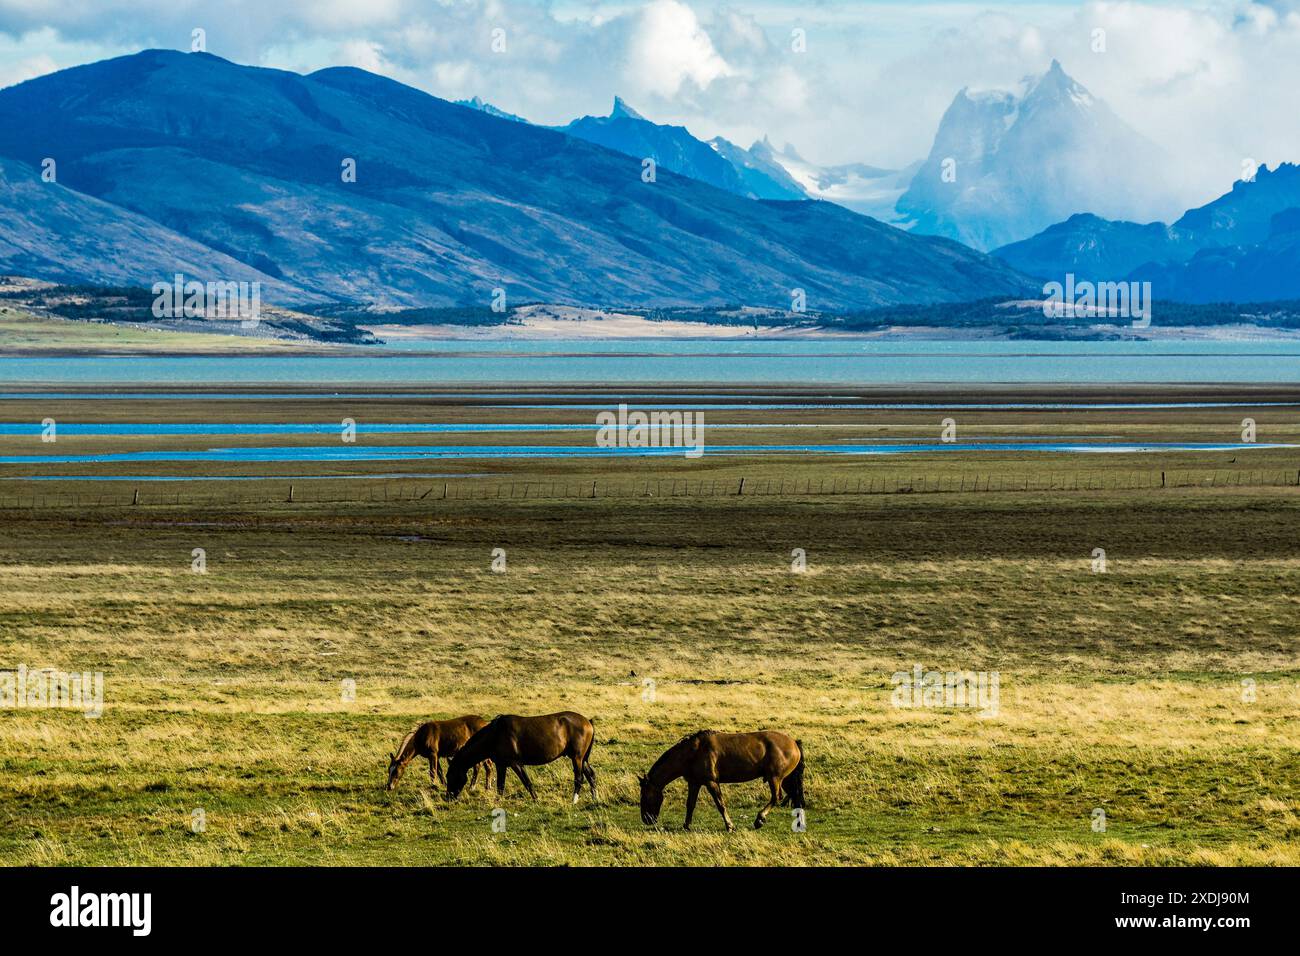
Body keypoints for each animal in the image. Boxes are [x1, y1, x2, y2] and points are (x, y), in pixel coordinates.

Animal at [445, 711, 597, 802]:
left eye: (450, 776)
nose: (448, 798)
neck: (495, 734)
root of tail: (588, 722)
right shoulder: (501, 765)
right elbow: (500, 786)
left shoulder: (516, 764)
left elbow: (527, 782)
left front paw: (536, 799)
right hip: (582, 759)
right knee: (591, 776)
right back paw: (594, 798)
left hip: (577, 758)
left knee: (579, 778)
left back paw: (574, 800)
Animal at [638, 730, 804, 831]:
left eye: (645, 796)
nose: (646, 820)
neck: (693, 752)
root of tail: (793, 742)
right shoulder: (694, 783)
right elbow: (690, 805)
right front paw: (686, 825)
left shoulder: (711, 782)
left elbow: (720, 805)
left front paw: (730, 826)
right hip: (785, 780)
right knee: (795, 797)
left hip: (775, 778)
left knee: (776, 797)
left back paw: (759, 819)